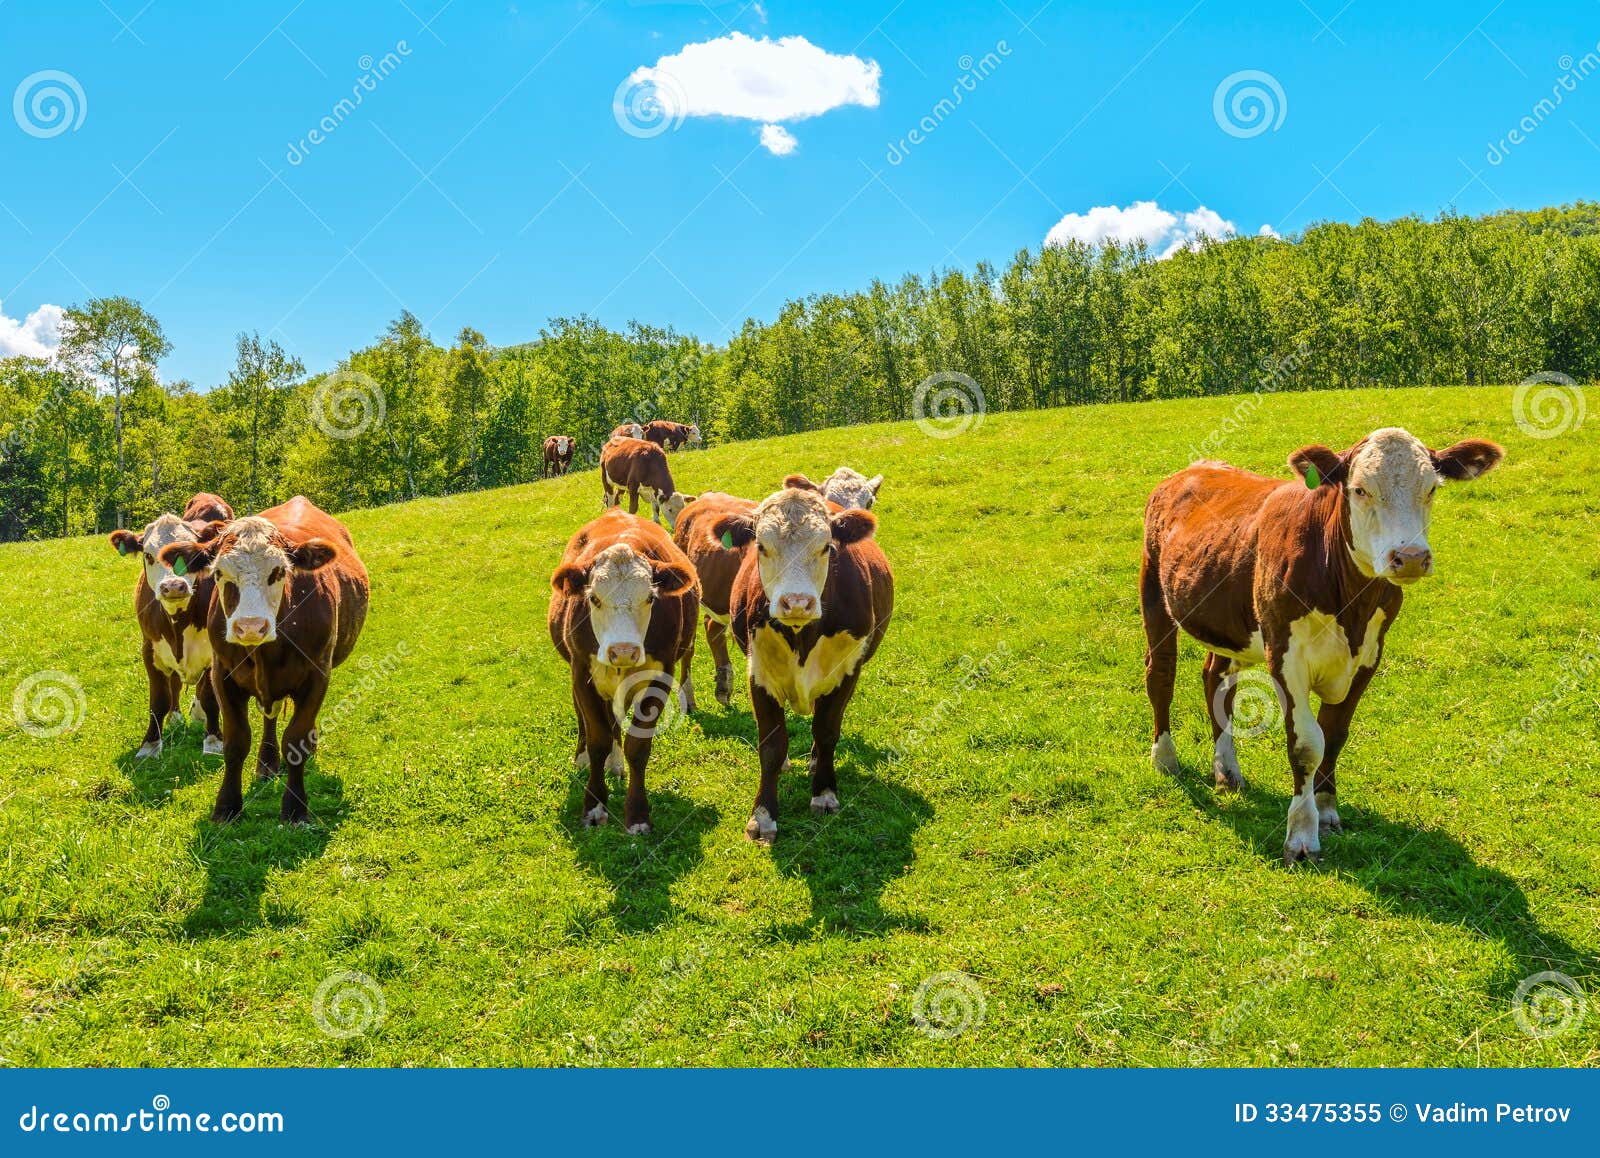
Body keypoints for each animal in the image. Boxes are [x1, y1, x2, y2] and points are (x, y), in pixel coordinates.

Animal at [108, 493, 235, 759]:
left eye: (191, 557)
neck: (178, 621)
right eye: (148, 555)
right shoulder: (150, 649)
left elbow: (209, 695)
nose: (173, 586)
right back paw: (175, 717)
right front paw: (150, 745)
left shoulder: (214, 650)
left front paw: (213, 741)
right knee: (175, 683)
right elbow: (159, 699)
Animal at [161, 496, 369, 824]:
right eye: (219, 573)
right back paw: (267, 763)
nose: (250, 626)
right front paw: (227, 807)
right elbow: (236, 742)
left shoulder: (317, 675)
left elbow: (296, 740)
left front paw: (295, 808)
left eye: (279, 571)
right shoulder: (223, 676)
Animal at [548, 508, 699, 834]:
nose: (624, 650)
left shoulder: (660, 676)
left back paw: (616, 765)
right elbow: (598, 740)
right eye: (594, 598)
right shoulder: (582, 675)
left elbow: (637, 747)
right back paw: (585, 759)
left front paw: (638, 814)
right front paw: (593, 807)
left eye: (650, 598)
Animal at [708, 478, 893, 844]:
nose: (796, 602)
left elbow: (827, 732)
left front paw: (824, 793)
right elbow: (771, 745)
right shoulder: (759, 674)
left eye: (826, 547)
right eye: (761, 546)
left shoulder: (847, 671)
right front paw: (763, 815)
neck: (802, 636)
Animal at [1140, 428, 1503, 864]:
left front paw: (1328, 810)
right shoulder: (1285, 655)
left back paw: (1227, 769)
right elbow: (1307, 744)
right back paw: (1165, 758)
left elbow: (1336, 733)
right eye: (1360, 489)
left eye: (1431, 488)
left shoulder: (1369, 655)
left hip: (1227, 623)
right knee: (1161, 676)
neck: (1351, 605)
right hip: (1154, 593)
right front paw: (1301, 834)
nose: (1411, 557)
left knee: (1216, 678)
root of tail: (1192, 469)